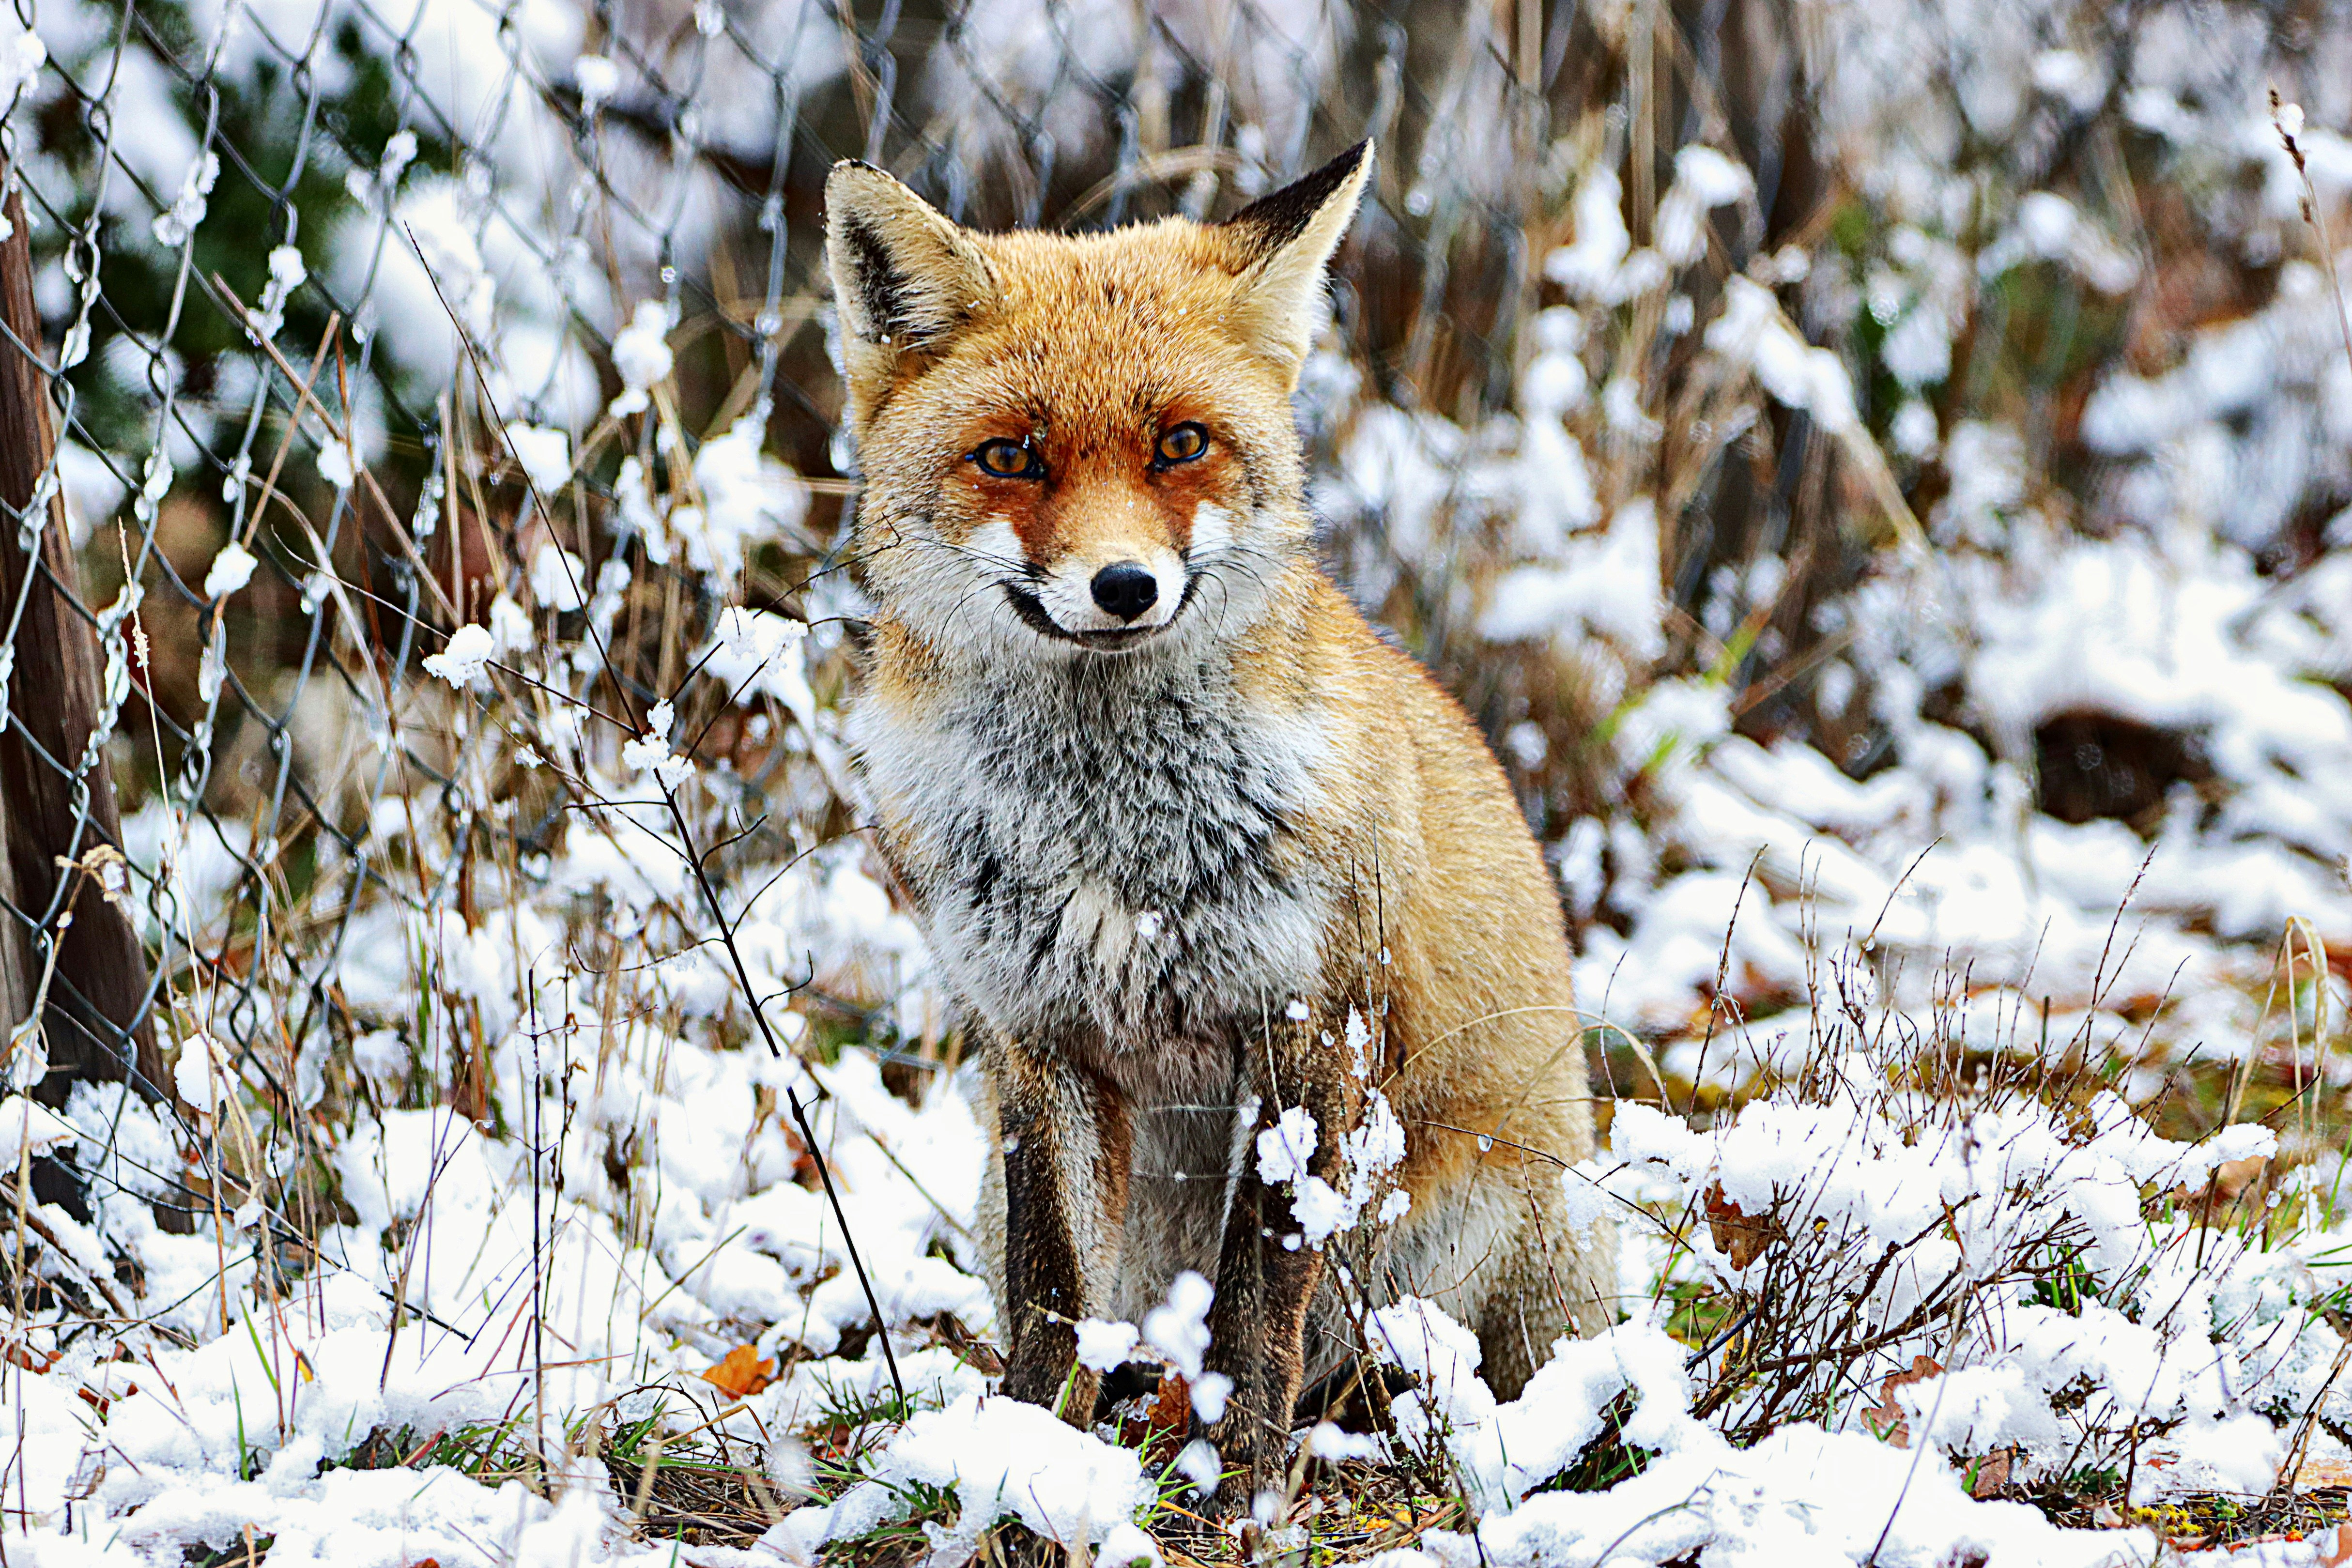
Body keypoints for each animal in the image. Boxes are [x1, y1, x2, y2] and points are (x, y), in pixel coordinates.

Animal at [823, 142, 1614, 1508]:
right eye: (1011, 456)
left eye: (1181, 443)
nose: (1122, 586)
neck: (1106, 829)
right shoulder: (1039, 1041)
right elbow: (1051, 1292)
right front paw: (1025, 1454)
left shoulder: (1310, 1022)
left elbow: (1262, 1285)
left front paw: (1241, 1470)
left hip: (1487, 1238)